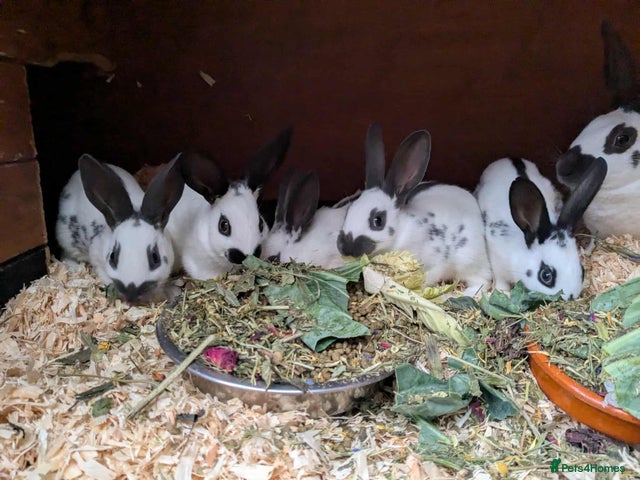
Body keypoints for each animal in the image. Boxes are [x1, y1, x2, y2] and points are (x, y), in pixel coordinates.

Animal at [337, 122, 492, 296]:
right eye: (348, 211)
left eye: (378, 221)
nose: (346, 248)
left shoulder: (434, 263)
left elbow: (429, 277)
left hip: (469, 259)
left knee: (482, 282)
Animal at [475, 156, 607, 300]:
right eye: (546, 276)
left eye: (582, 270)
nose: (571, 296)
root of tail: (508, 159)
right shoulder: (497, 262)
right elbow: (501, 281)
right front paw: (503, 292)